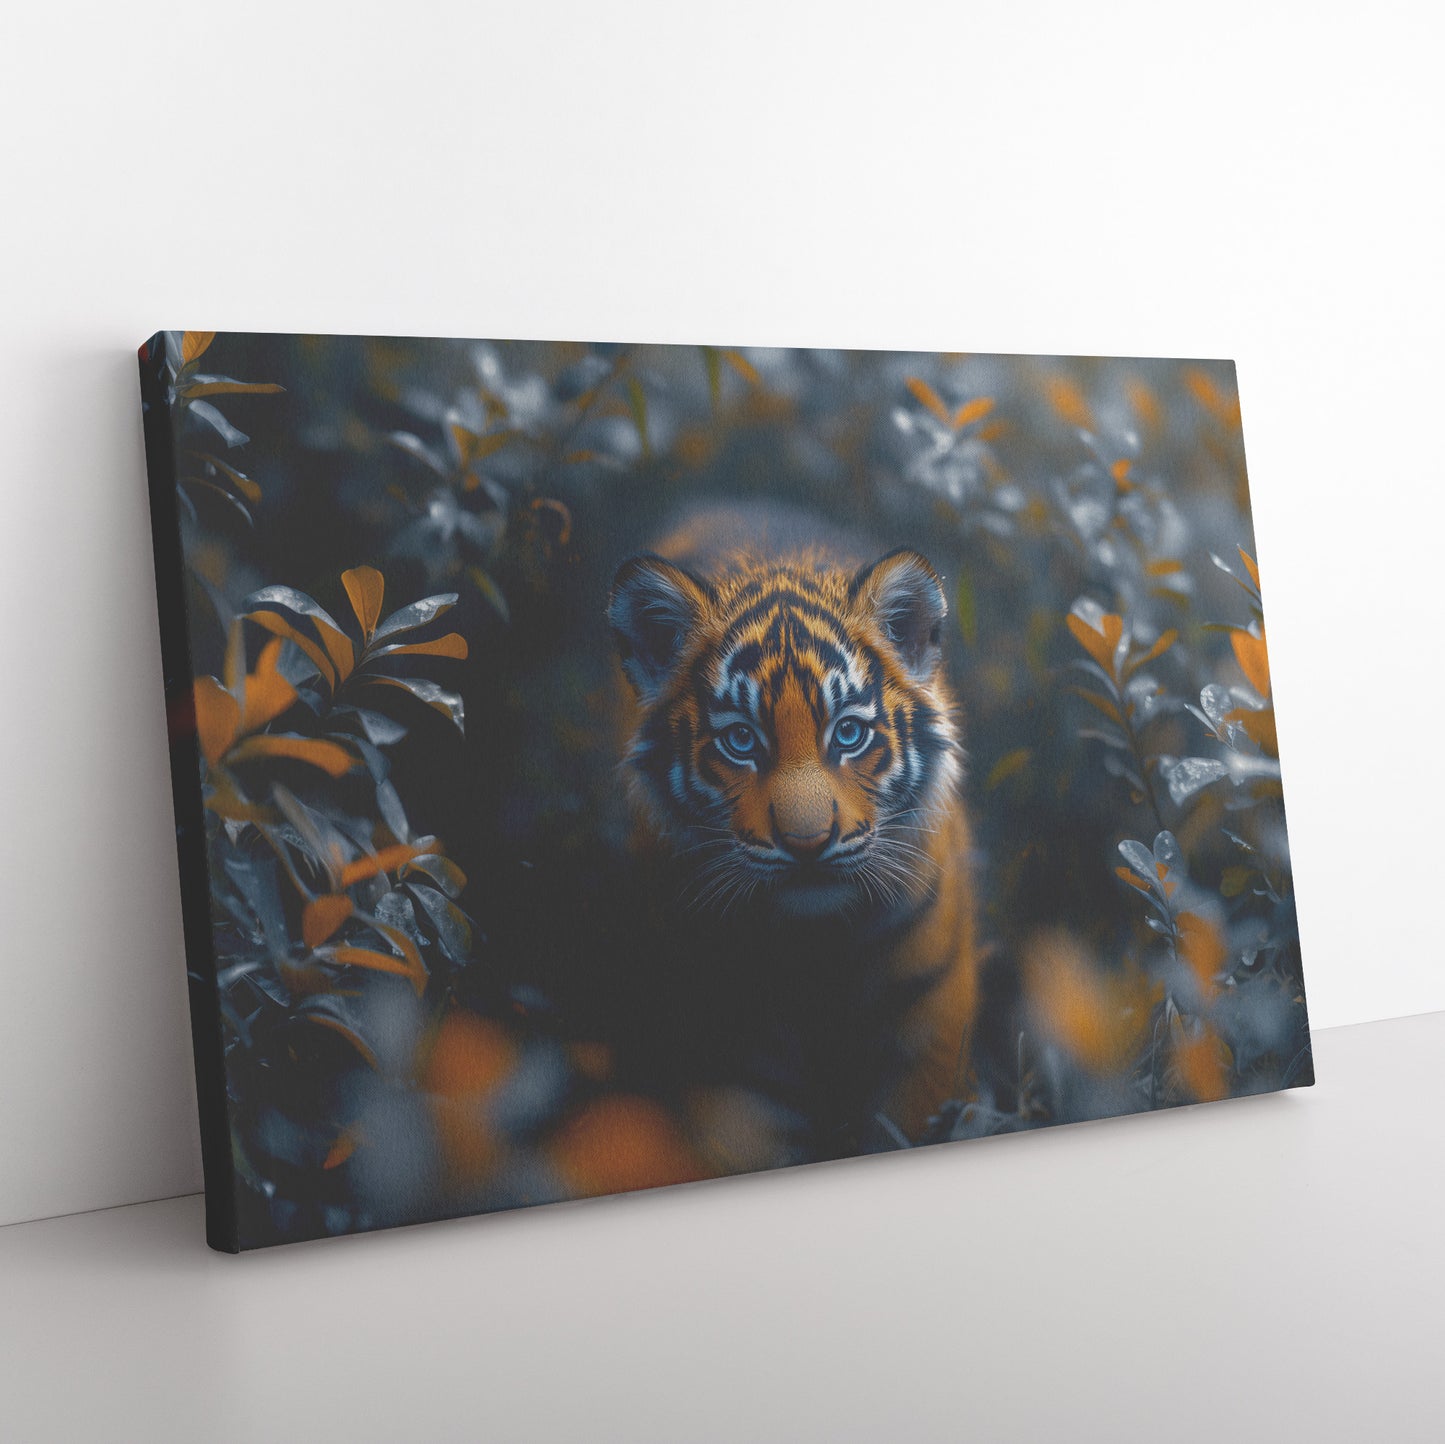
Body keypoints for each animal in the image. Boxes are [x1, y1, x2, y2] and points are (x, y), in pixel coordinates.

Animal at [606, 505, 979, 1171]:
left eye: (849, 734)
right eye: (741, 741)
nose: (807, 843)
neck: (816, 948)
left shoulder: (926, 1026)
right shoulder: (731, 1054)